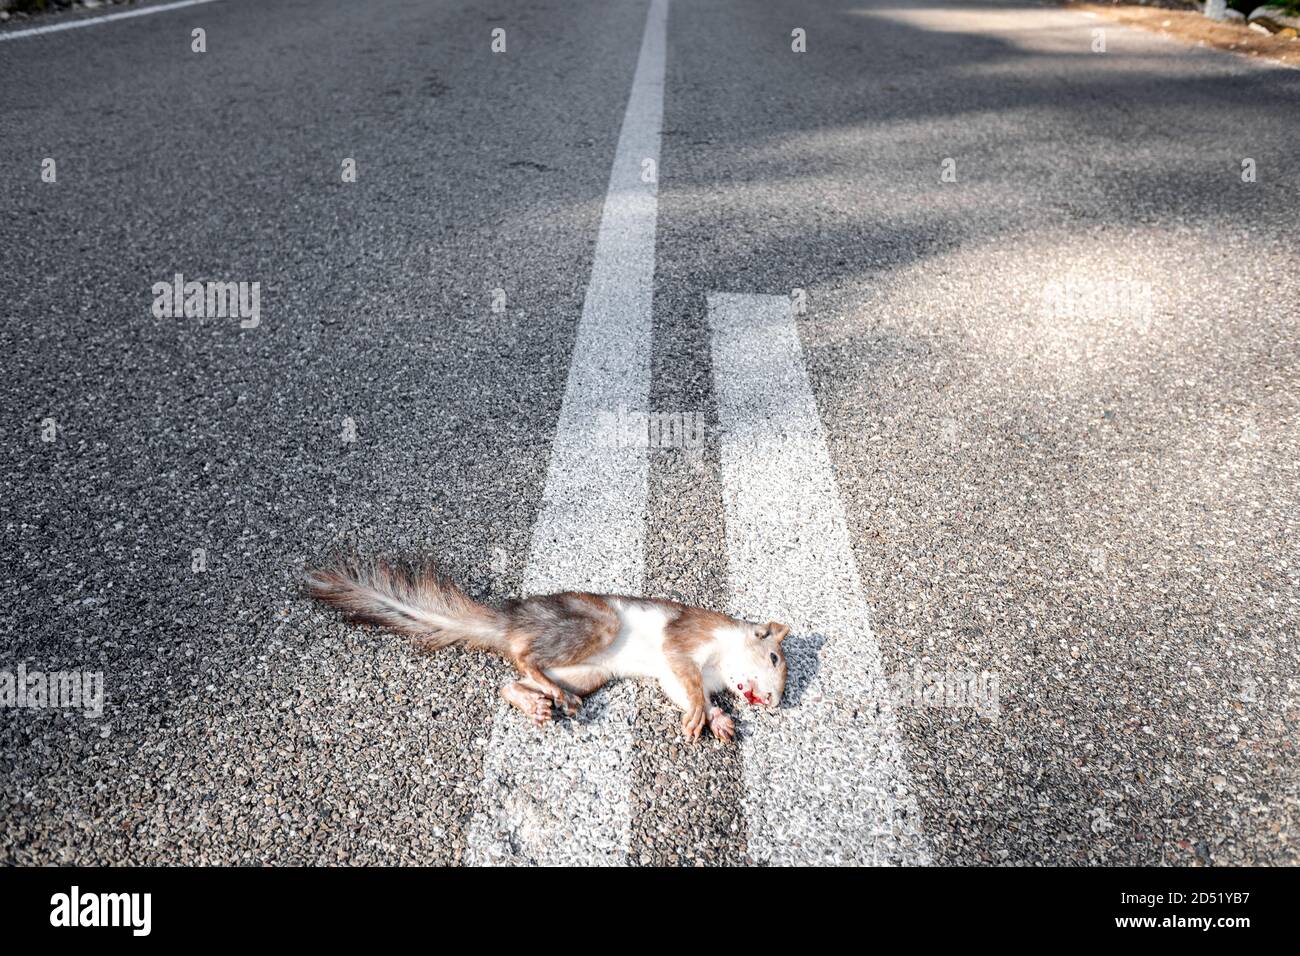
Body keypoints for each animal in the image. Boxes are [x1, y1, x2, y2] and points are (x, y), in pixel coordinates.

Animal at [305, 556, 789, 742]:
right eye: (774, 658)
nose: (772, 701)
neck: (720, 663)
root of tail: (511, 624)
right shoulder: (688, 637)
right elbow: (686, 679)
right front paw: (700, 716)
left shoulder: (681, 675)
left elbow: (687, 690)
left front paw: (719, 720)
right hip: (596, 624)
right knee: (526, 658)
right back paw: (547, 693)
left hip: (591, 672)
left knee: (510, 680)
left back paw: (533, 701)